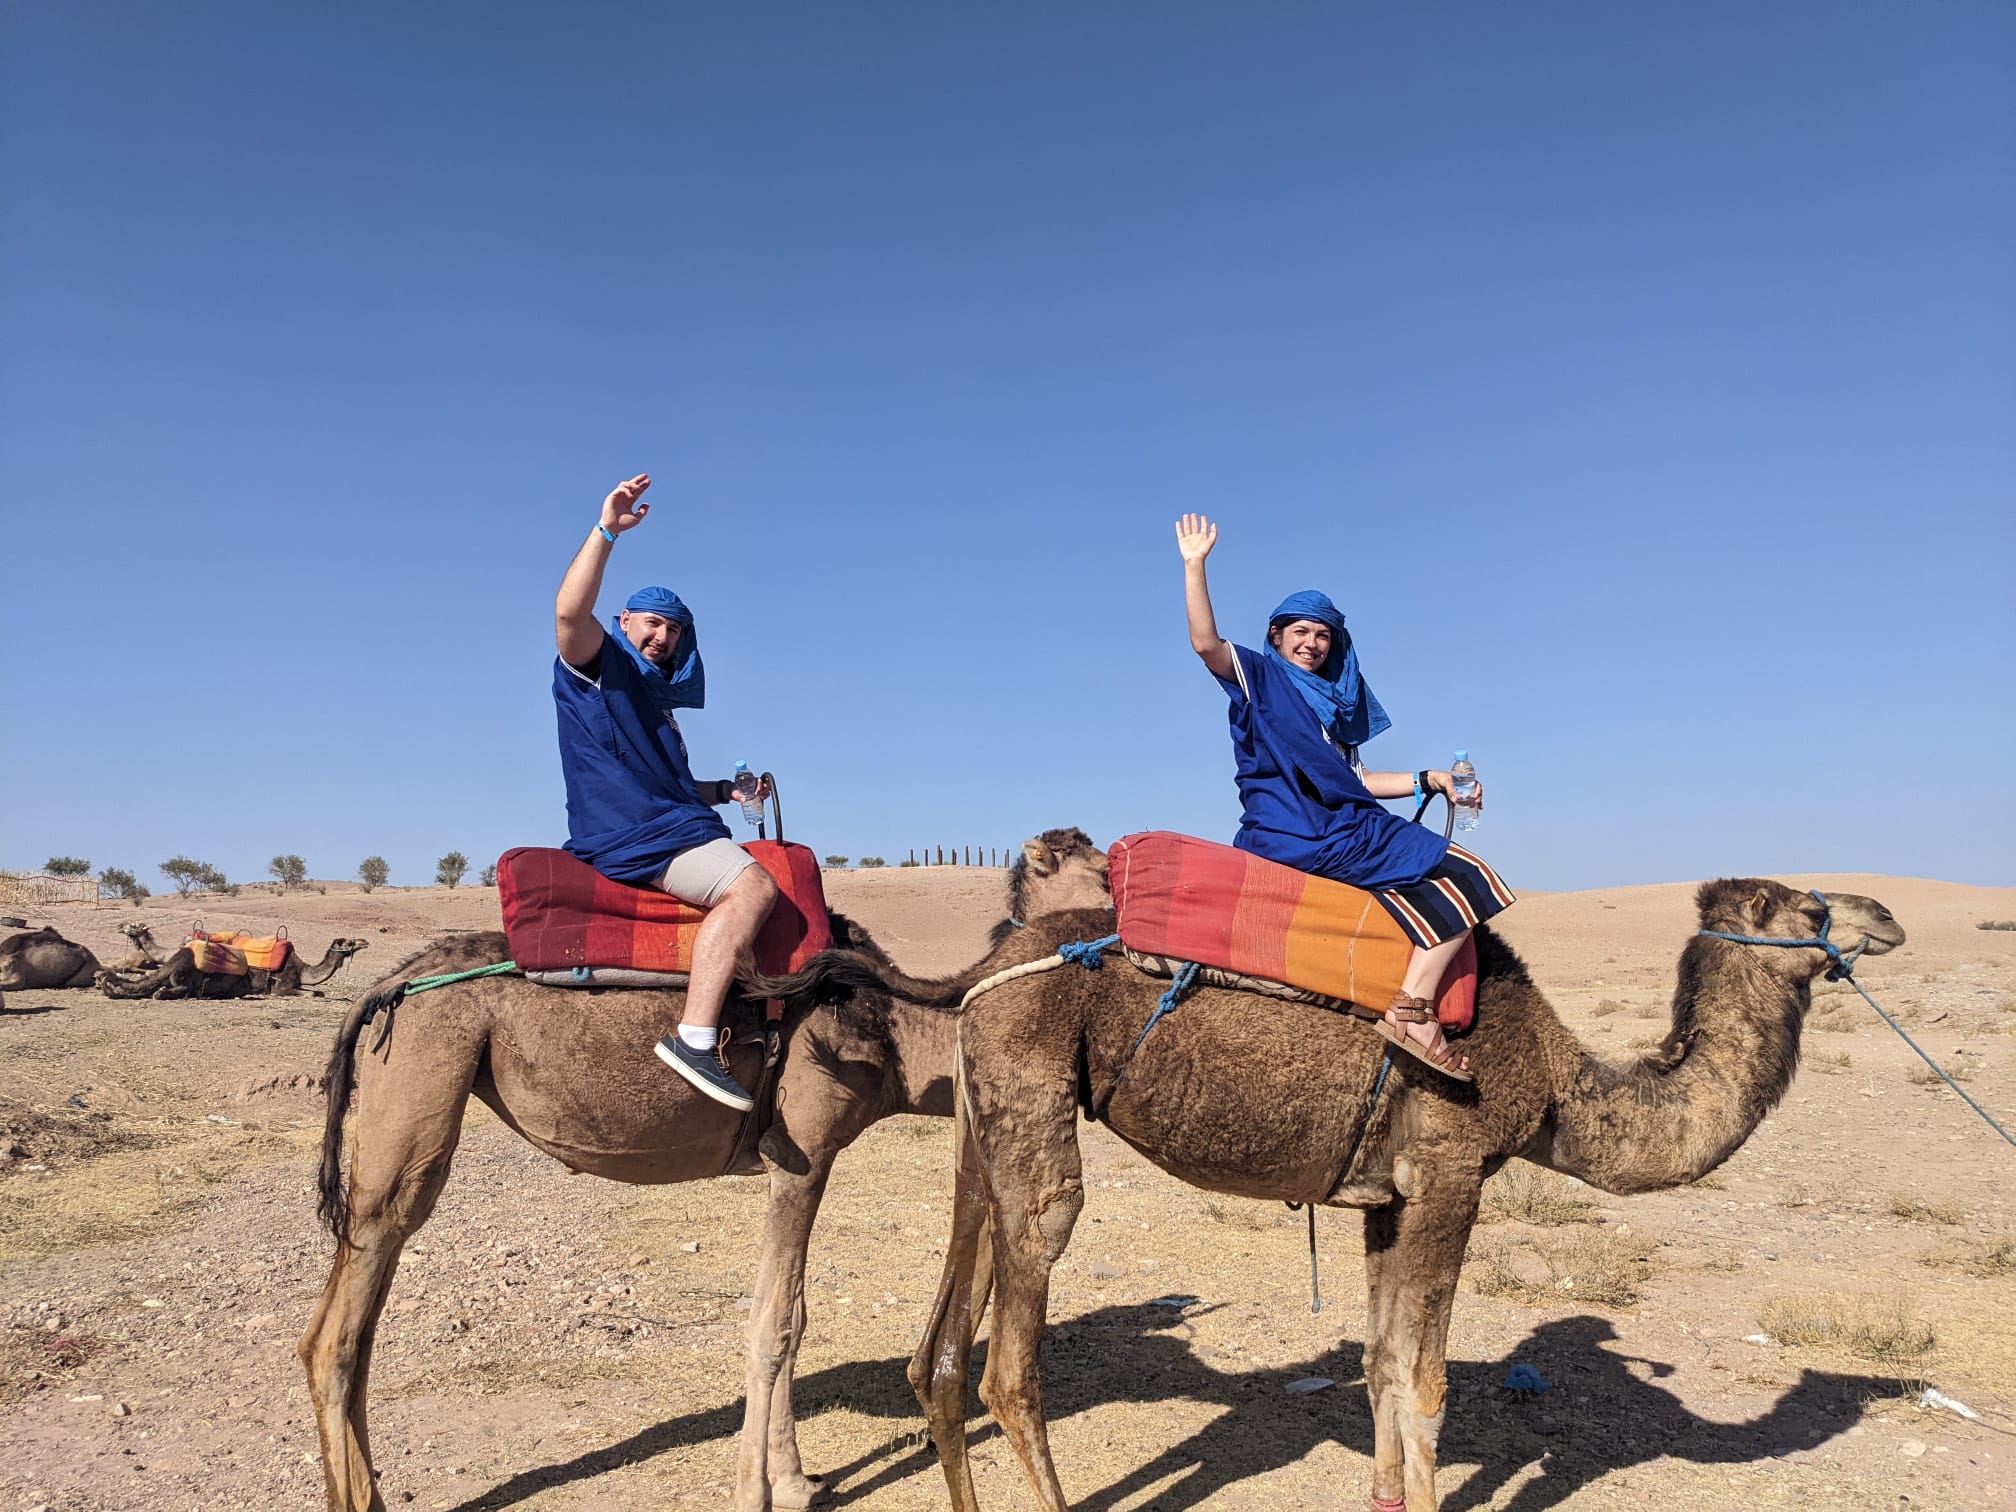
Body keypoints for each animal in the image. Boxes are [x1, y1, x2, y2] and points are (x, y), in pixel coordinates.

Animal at [299, 827, 1111, 1512]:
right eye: (1105, 871)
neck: (893, 1032)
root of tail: (392, 984)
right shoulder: (802, 1152)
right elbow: (774, 1321)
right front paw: (755, 1493)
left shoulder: (806, 1163)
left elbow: (795, 1316)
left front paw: (796, 1481)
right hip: (424, 1073)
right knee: (338, 1330)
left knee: (357, 1322)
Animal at [765, 876, 1904, 1512]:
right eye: (1812, 905)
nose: (1888, 916)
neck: (1553, 1082)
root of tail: (983, 965)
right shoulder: (1450, 1174)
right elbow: (1430, 1384)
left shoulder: (1389, 1196)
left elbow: (1380, 1366)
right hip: (1036, 1111)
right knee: (1011, 1363)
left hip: (983, 1119)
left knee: (938, 1356)